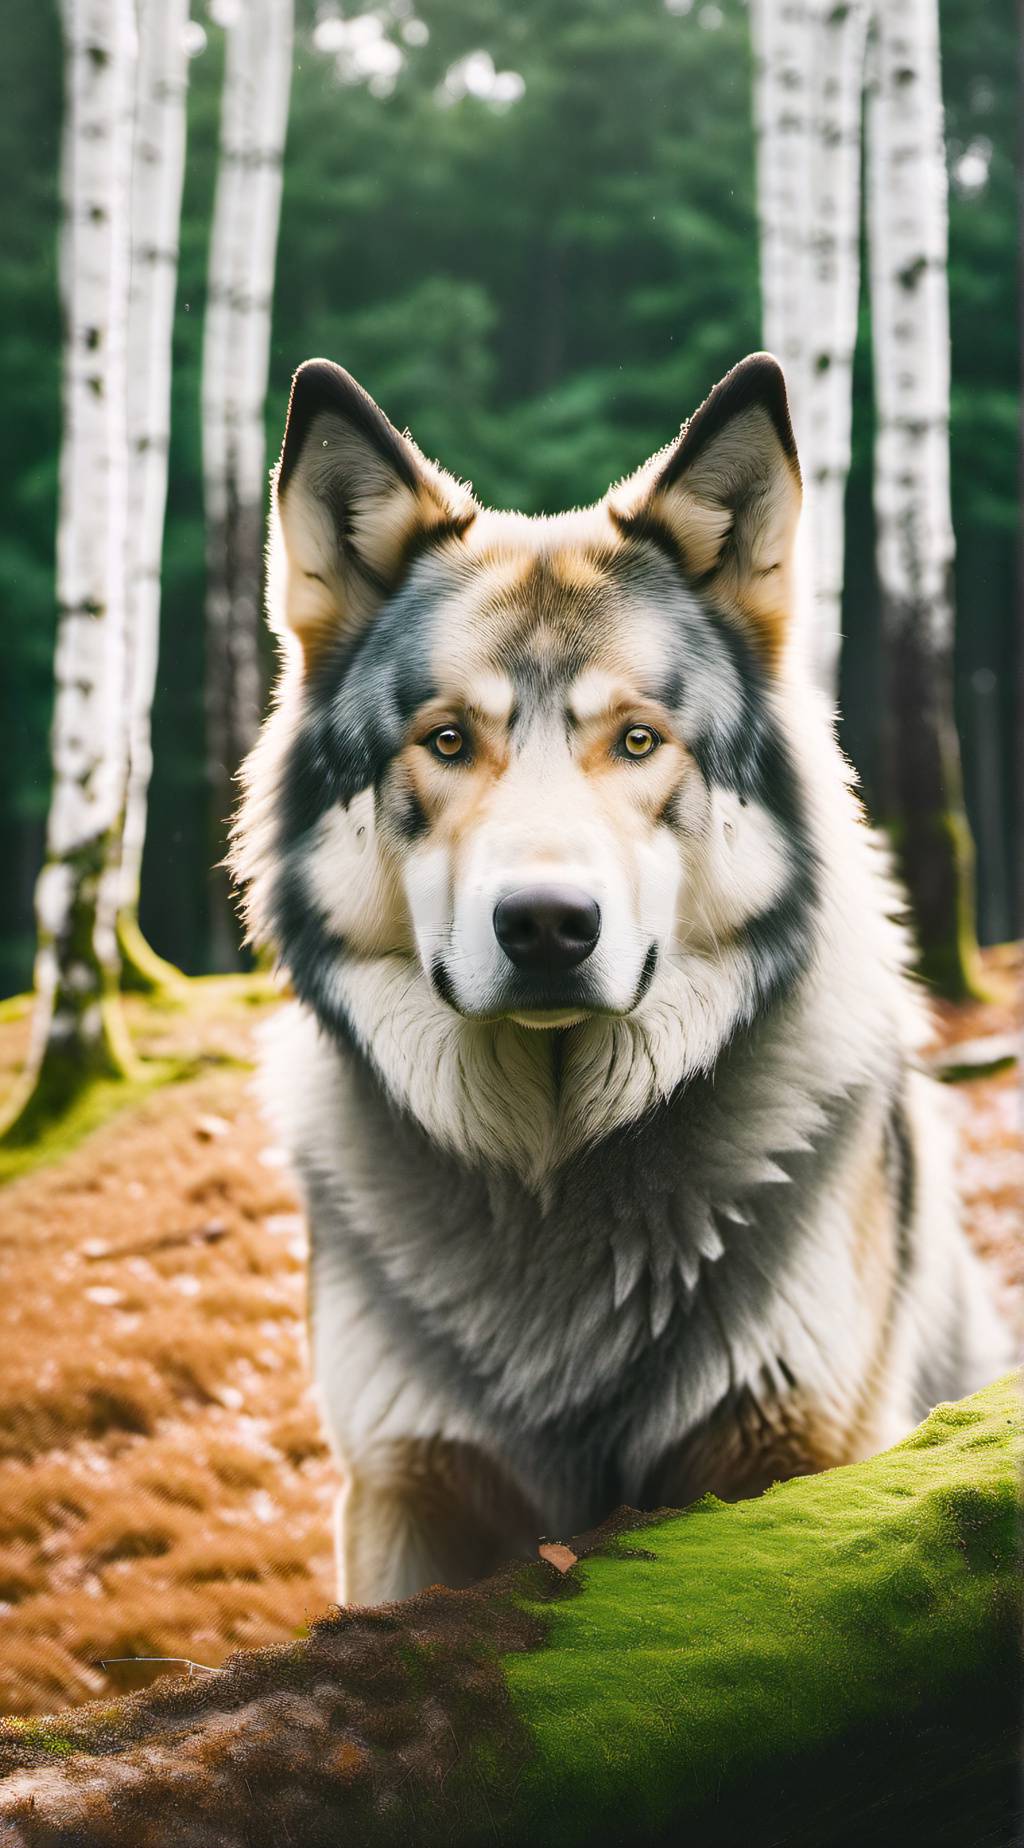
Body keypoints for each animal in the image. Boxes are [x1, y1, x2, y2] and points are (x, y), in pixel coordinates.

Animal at [233, 352, 1009, 1605]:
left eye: (638, 742)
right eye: (447, 742)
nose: (547, 925)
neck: (556, 1177)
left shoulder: (795, 1450)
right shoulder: (403, 1492)